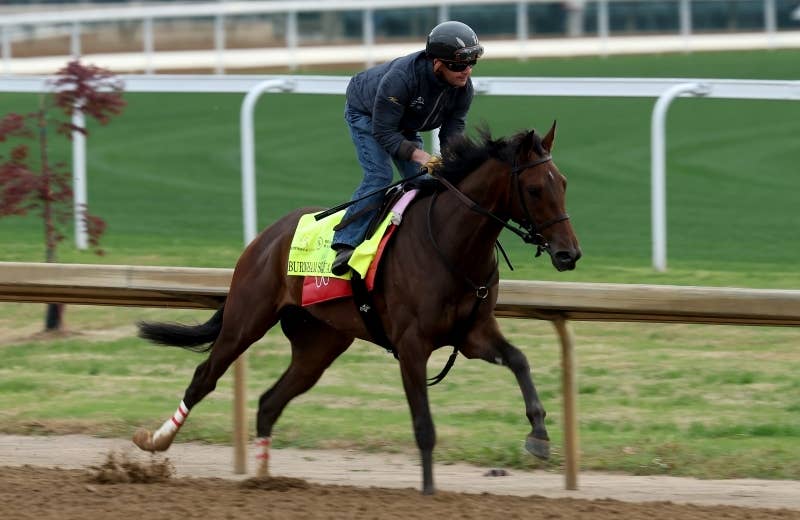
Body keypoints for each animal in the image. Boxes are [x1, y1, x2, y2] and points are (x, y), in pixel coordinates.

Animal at [132, 121, 581, 495]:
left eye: (562, 183)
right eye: (536, 189)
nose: (569, 254)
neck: (452, 245)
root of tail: (264, 238)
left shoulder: (473, 334)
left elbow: (519, 359)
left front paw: (539, 435)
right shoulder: (413, 345)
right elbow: (424, 425)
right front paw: (429, 491)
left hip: (319, 344)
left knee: (269, 402)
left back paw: (264, 479)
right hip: (246, 319)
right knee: (204, 378)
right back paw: (156, 440)